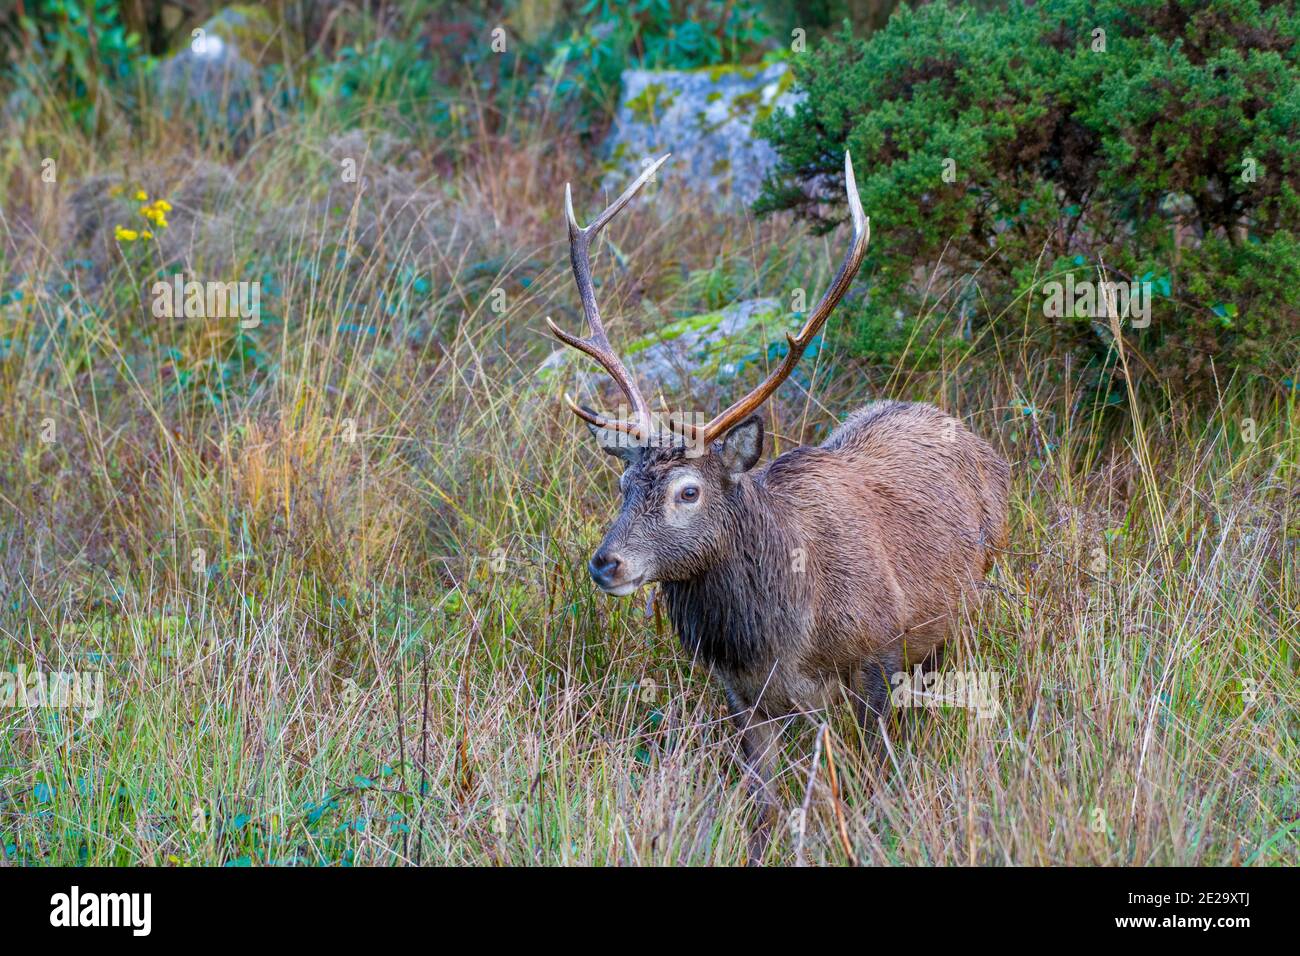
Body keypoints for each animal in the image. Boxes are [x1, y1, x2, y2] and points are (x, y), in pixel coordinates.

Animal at [547, 153, 1010, 859]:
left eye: (689, 490)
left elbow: (872, 783)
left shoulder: (878, 656)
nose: (607, 563)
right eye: (623, 485)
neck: (779, 636)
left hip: (967, 603)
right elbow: (762, 805)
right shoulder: (740, 695)